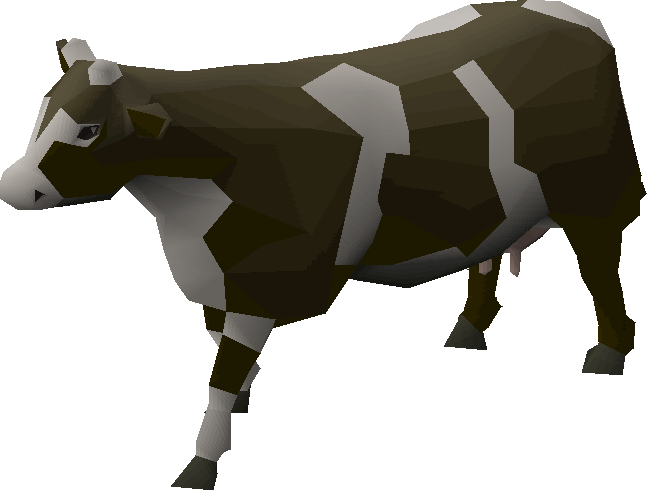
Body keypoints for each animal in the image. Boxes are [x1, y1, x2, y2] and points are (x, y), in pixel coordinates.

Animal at [0, 0, 643, 488]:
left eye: (88, 130)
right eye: (42, 111)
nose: (13, 186)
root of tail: (573, 14)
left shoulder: (268, 273)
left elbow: (222, 372)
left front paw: (203, 463)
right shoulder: (215, 271)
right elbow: (223, 350)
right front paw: (242, 403)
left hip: (596, 192)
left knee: (599, 268)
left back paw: (609, 353)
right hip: (496, 209)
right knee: (484, 258)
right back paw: (467, 331)